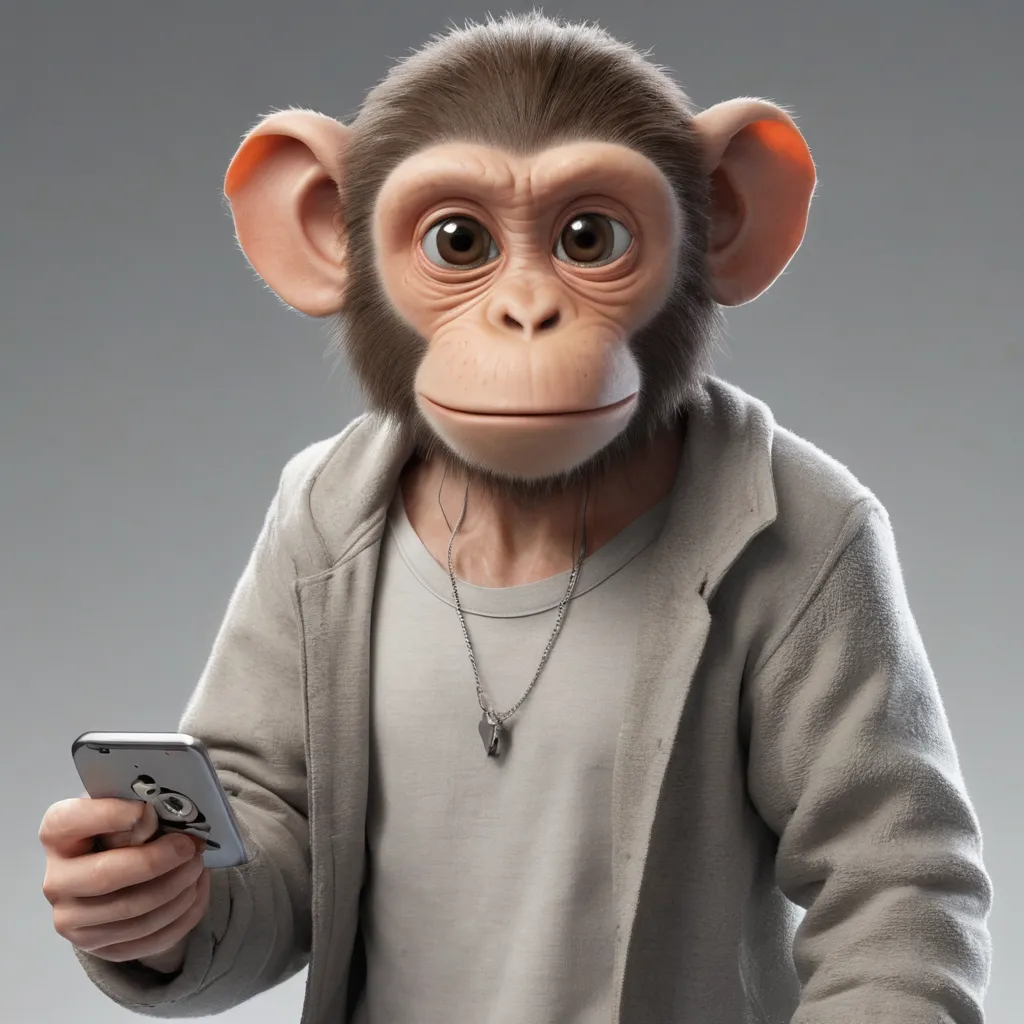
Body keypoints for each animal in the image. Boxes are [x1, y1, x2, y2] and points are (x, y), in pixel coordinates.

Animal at [42, 13, 991, 1024]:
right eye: (459, 241)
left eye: (589, 237)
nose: (527, 315)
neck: (522, 524)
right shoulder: (293, 522)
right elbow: (273, 807)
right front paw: (133, 888)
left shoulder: (834, 541)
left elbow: (888, 868)